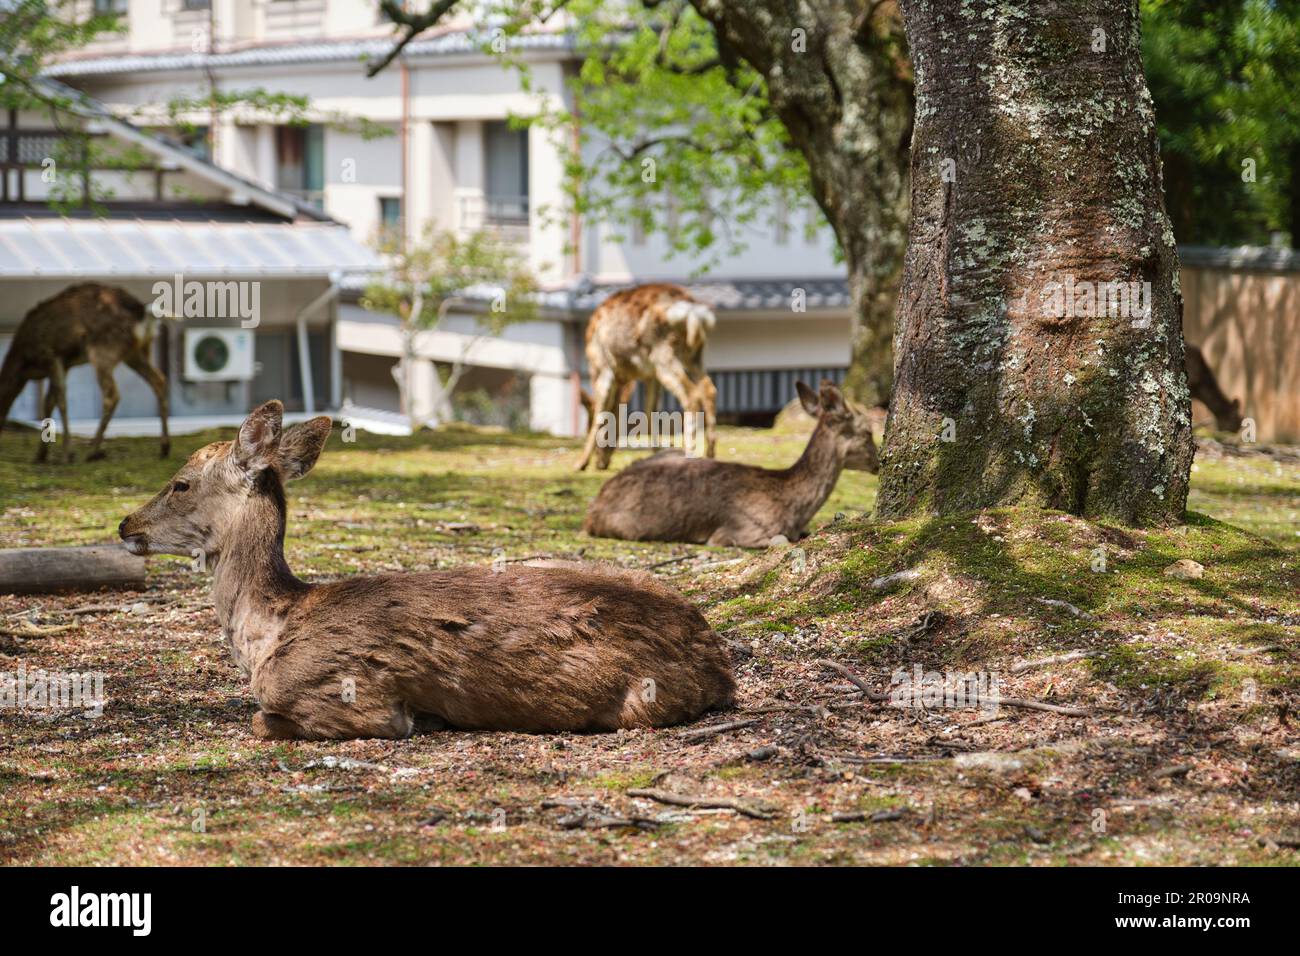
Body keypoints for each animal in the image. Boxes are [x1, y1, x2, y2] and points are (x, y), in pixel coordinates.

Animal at [0, 283, 170, 463]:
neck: (24, 363)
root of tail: (144, 313)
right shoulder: (64, 364)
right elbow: (49, 402)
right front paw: (41, 454)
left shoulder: (51, 356)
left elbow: (60, 401)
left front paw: (67, 454)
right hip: (137, 351)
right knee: (159, 380)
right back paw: (164, 448)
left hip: (103, 350)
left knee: (112, 395)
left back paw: (93, 450)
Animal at [118, 401, 735, 740]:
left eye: (180, 484)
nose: (126, 525)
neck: (269, 632)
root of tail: (717, 662)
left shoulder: (347, 695)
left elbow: (260, 720)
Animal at [576, 283, 718, 471]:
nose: (601, 464)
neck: (624, 376)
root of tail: (691, 310)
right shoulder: (650, 376)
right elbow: (650, 411)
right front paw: (659, 453)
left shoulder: (603, 367)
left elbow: (600, 413)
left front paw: (580, 463)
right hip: (694, 353)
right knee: (708, 388)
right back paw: (710, 453)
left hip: (662, 352)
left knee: (690, 394)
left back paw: (691, 451)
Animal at [585, 381, 877, 548]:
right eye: (868, 432)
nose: (878, 462)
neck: (791, 506)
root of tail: (594, 505)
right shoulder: (737, 530)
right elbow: (780, 540)